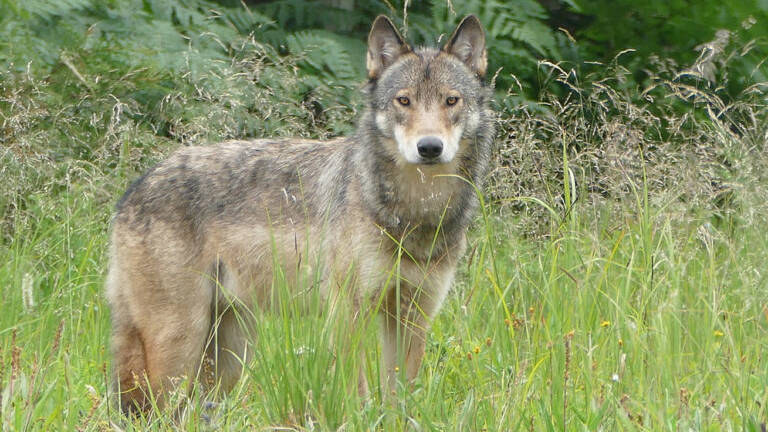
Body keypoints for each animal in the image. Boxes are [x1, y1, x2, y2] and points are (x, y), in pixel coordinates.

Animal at [106, 14, 494, 414]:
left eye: (451, 100)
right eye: (404, 100)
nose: (429, 147)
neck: (415, 212)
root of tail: (133, 190)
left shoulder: (413, 316)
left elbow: (400, 398)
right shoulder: (348, 312)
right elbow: (356, 390)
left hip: (229, 356)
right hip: (181, 345)